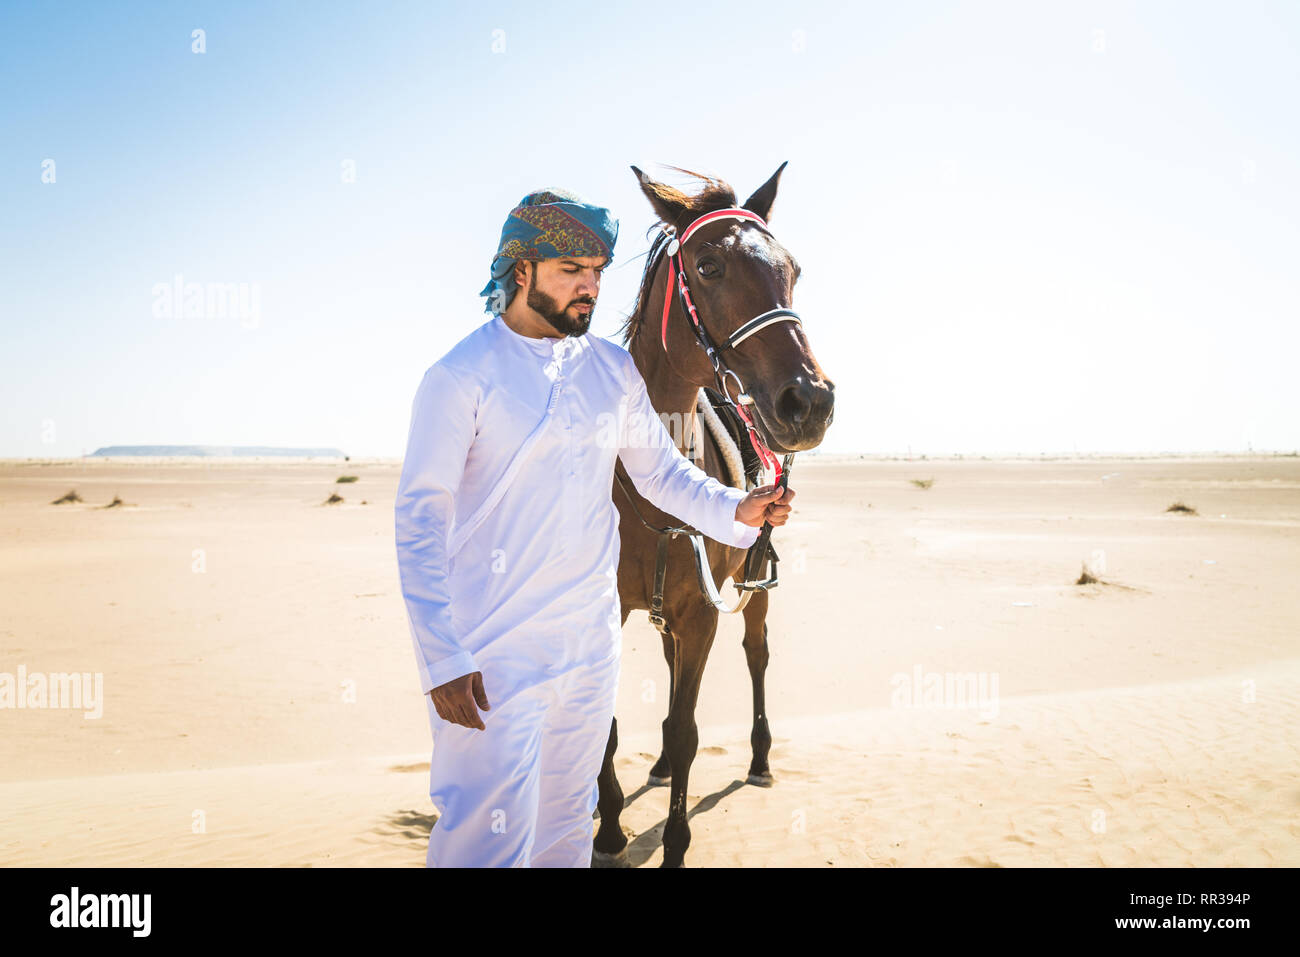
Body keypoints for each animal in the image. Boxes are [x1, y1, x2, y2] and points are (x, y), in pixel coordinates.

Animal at [594, 163, 836, 867]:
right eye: (708, 265)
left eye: (793, 268)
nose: (809, 402)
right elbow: (607, 732)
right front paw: (609, 830)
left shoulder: (703, 611)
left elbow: (690, 732)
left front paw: (673, 846)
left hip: (751, 586)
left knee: (756, 653)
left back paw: (758, 759)